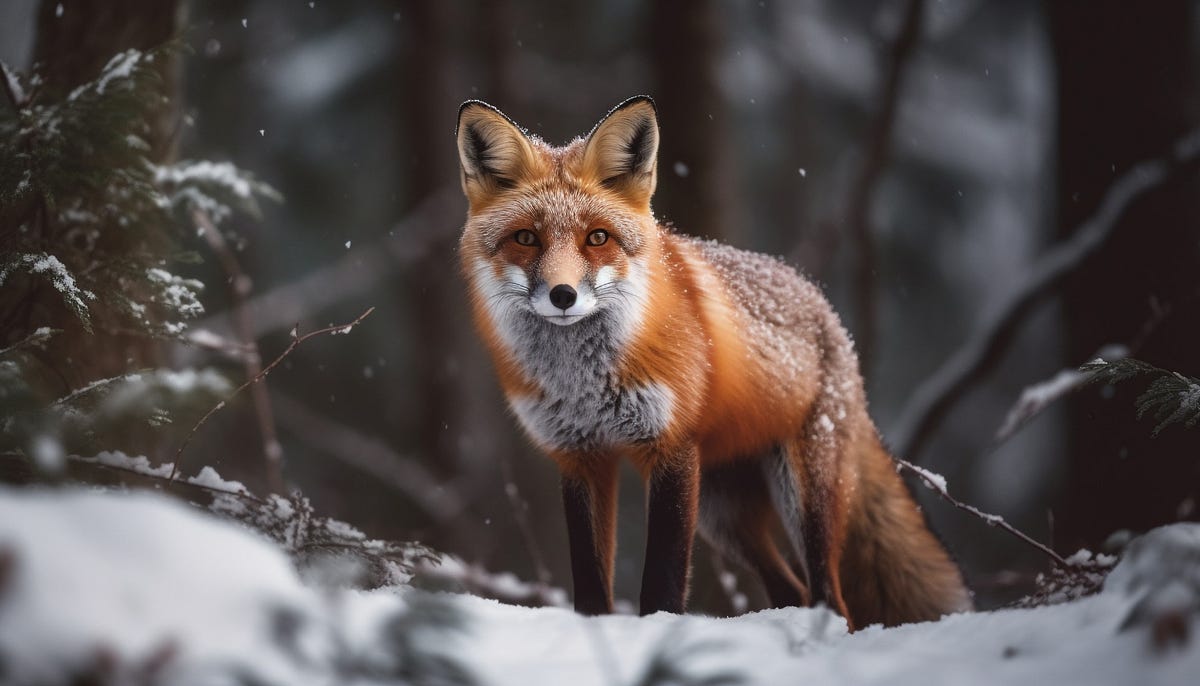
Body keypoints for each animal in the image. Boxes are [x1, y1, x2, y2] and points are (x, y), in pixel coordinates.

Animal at [454, 95, 972, 628]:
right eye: (526, 238)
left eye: (597, 238)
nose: (563, 295)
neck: (583, 383)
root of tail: (827, 311)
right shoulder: (580, 456)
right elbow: (590, 581)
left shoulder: (671, 449)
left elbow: (662, 580)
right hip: (722, 514)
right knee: (791, 588)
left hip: (801, 494)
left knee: (831, 596)